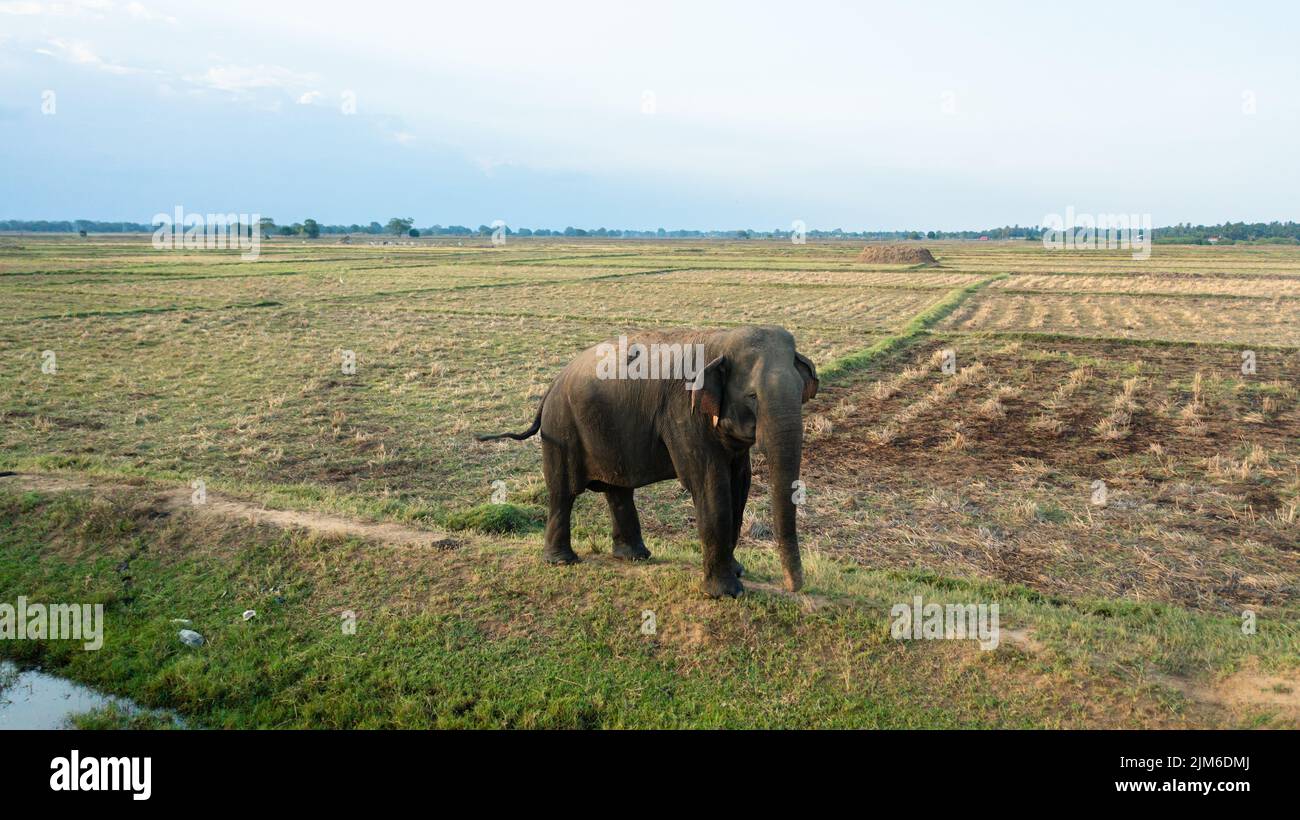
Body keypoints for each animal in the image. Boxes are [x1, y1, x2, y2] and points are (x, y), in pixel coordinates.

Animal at [476, 325, 818, 597]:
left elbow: (739, 486)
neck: (719, 340)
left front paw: (737, 572)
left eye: (802, 391)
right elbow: (710, 486)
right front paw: (726, 593)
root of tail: (550, 387)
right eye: (752, 397)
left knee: (618, 490)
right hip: (561, 429)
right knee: (564, 492)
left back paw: (634, 556)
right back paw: (562, 561)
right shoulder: (683, 414)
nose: (793, 588)